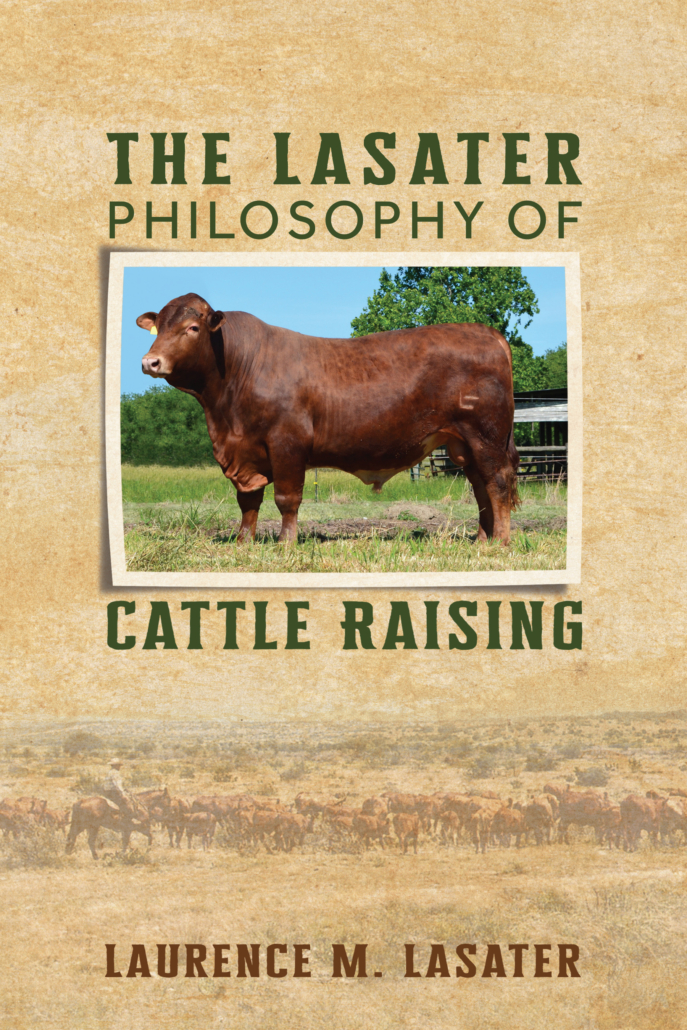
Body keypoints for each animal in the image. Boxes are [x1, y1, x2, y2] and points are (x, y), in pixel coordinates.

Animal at [138, 294, 520, 545]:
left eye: (192, 327)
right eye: (158, 327)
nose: (150, 361)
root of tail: (488, 333)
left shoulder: (287, 443)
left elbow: (286, 498)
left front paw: (285, 544)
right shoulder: (243, 450)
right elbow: (248, 500)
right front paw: (243, 542)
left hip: (486, 436)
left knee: (497, 482)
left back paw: (500, 542)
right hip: (463, 443)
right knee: (480, 487)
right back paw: (481, 539)